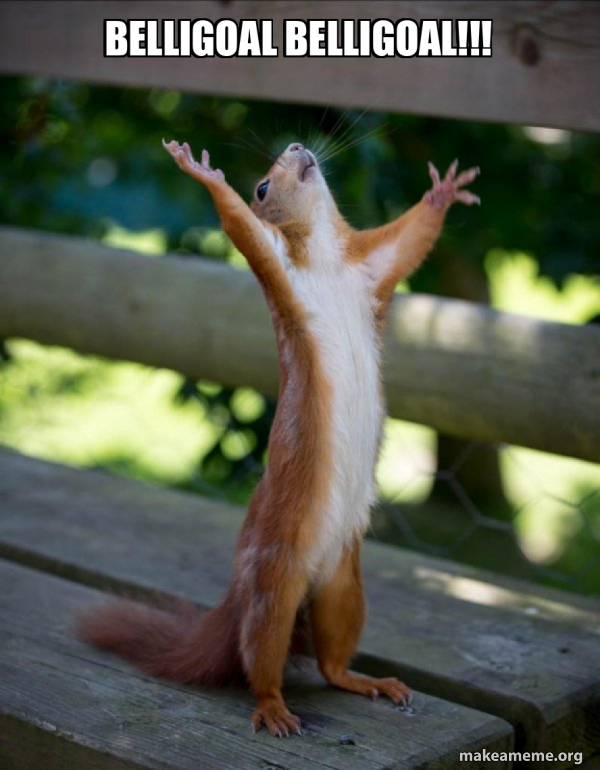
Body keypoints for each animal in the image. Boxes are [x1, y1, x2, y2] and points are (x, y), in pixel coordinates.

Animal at [77, 138, 479, 738]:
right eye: (262, 186)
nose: (296, 147)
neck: (327, 257)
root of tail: (239, 595)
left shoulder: (372, 267)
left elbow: (409, 240)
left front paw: (443, 192)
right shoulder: (277, 266)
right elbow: (240, 226)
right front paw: (204, 174)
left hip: (344, 586)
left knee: (332, 661)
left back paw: (368, 681)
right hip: (273, 585)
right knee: (260, 658)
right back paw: (273, 708)